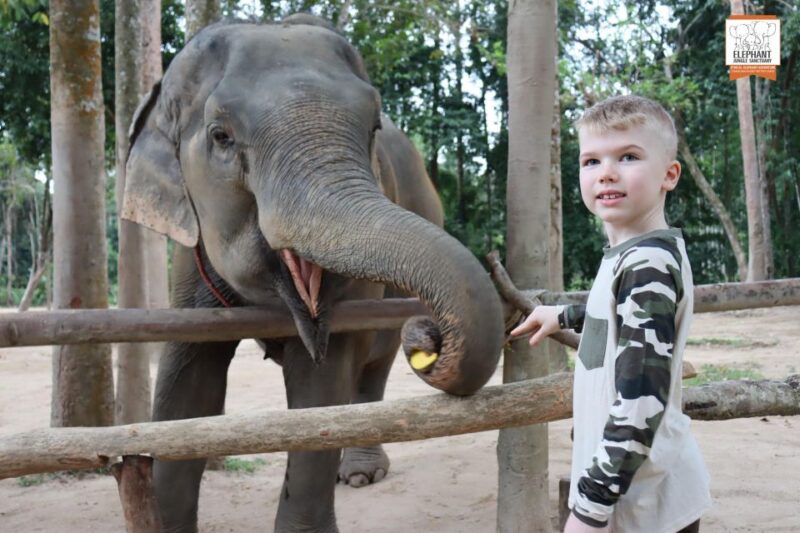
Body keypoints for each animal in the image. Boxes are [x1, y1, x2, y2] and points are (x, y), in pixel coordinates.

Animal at [121, 14, 504, 533]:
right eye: (220, 136)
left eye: (373, 125)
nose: (434, 335)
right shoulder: (188, 254)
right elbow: (188, 389)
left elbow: (320, 389)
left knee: (375, 362)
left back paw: (359, 474)